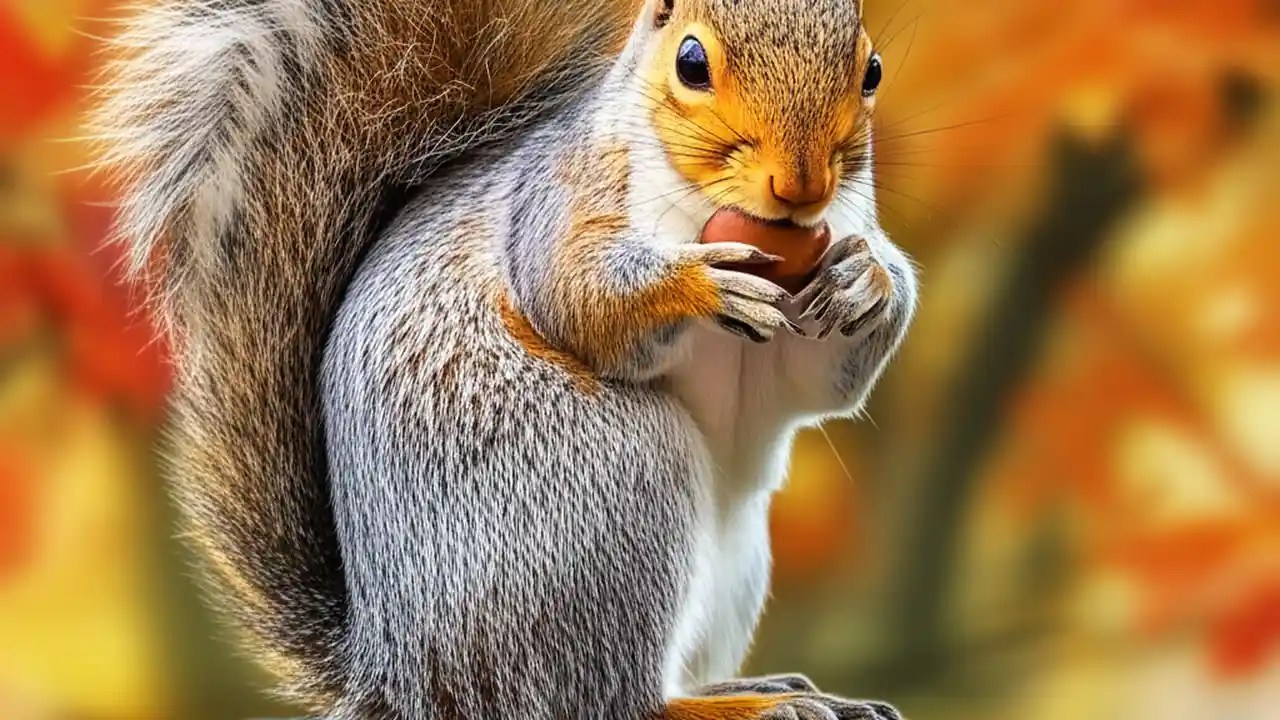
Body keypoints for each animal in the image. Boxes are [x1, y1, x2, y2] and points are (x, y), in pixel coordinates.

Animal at [95, 0, 918, 718]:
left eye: (872, 70)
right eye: (691, 63)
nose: (802, 186)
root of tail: (403, 679)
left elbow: (814, 384)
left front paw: (868, 279)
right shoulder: (560, 201)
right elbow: (581, 298)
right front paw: (698, 284)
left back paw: (756, 690)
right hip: (606, 494)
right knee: (604, 702)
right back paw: (751, 707)